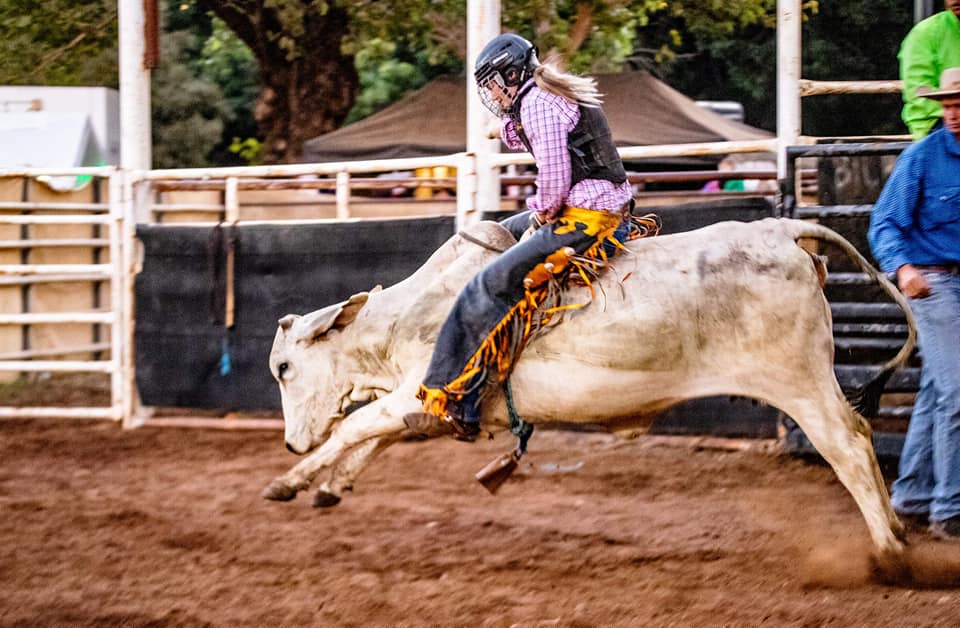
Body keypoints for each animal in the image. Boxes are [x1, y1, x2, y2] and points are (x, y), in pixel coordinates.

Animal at [263, 217, 917, 576]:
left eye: (285, 367)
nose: (292, 443)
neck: (407, 315)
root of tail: (779, 230)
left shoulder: (423, 389)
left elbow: (357, 426)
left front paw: (289, 483)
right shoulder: (427, 404)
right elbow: (375, 438)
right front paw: (330, 486)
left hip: (799, 383)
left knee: (848, 448)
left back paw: (889, 553)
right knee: (859, 440)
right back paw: (898, 531)